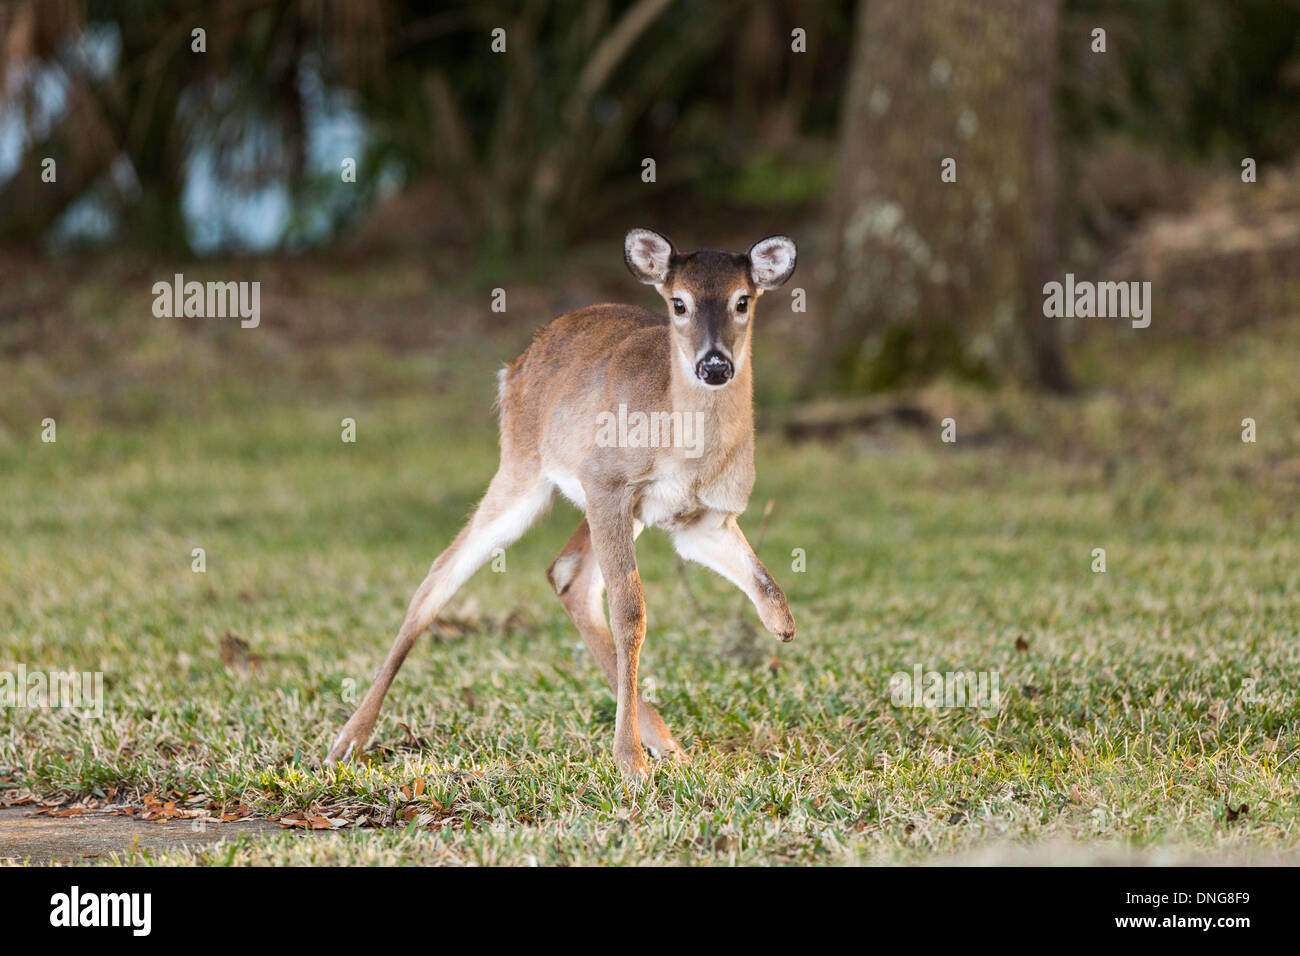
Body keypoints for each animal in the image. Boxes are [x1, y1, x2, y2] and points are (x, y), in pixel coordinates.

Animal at [325, 228, 799, 781]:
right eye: (678, 303)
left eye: (742, 301)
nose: (715, 364)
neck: (683, 446)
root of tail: (514, 365)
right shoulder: (608, 480)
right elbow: (630, 614)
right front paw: (629, 762)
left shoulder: (703, 520)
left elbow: (764, 581)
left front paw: (780, 626)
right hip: (524, 468)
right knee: (443, 570)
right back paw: (346, 742)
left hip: (609, 506)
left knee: (566, 573)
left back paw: (668, 742)